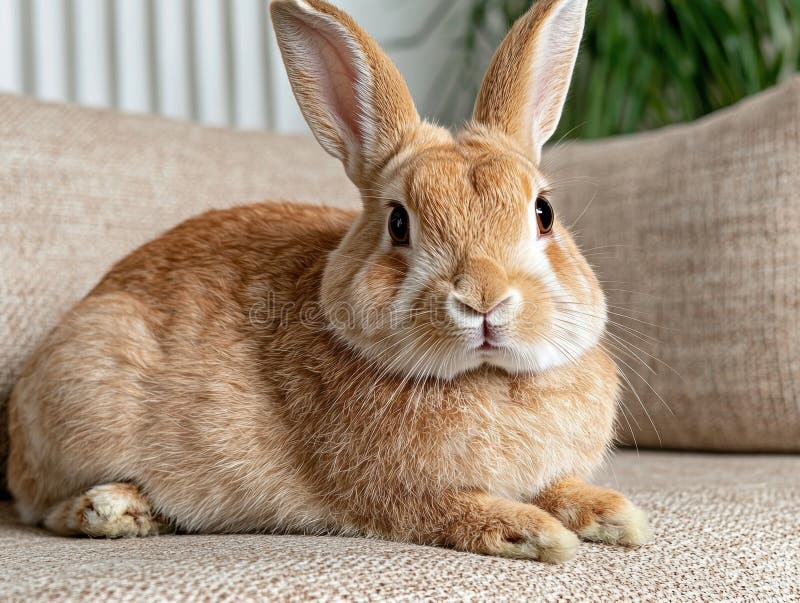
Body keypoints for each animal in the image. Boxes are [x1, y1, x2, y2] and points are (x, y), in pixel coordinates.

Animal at [7, 0, 651, 562]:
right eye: (398, 223)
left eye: (544, 212)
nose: (484, 301)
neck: (486, 375)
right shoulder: (395, 494)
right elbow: (453, 511)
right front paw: (535, 535)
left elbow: (559, 488)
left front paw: (617, 516)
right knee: (42, 510)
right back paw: (114, 509)